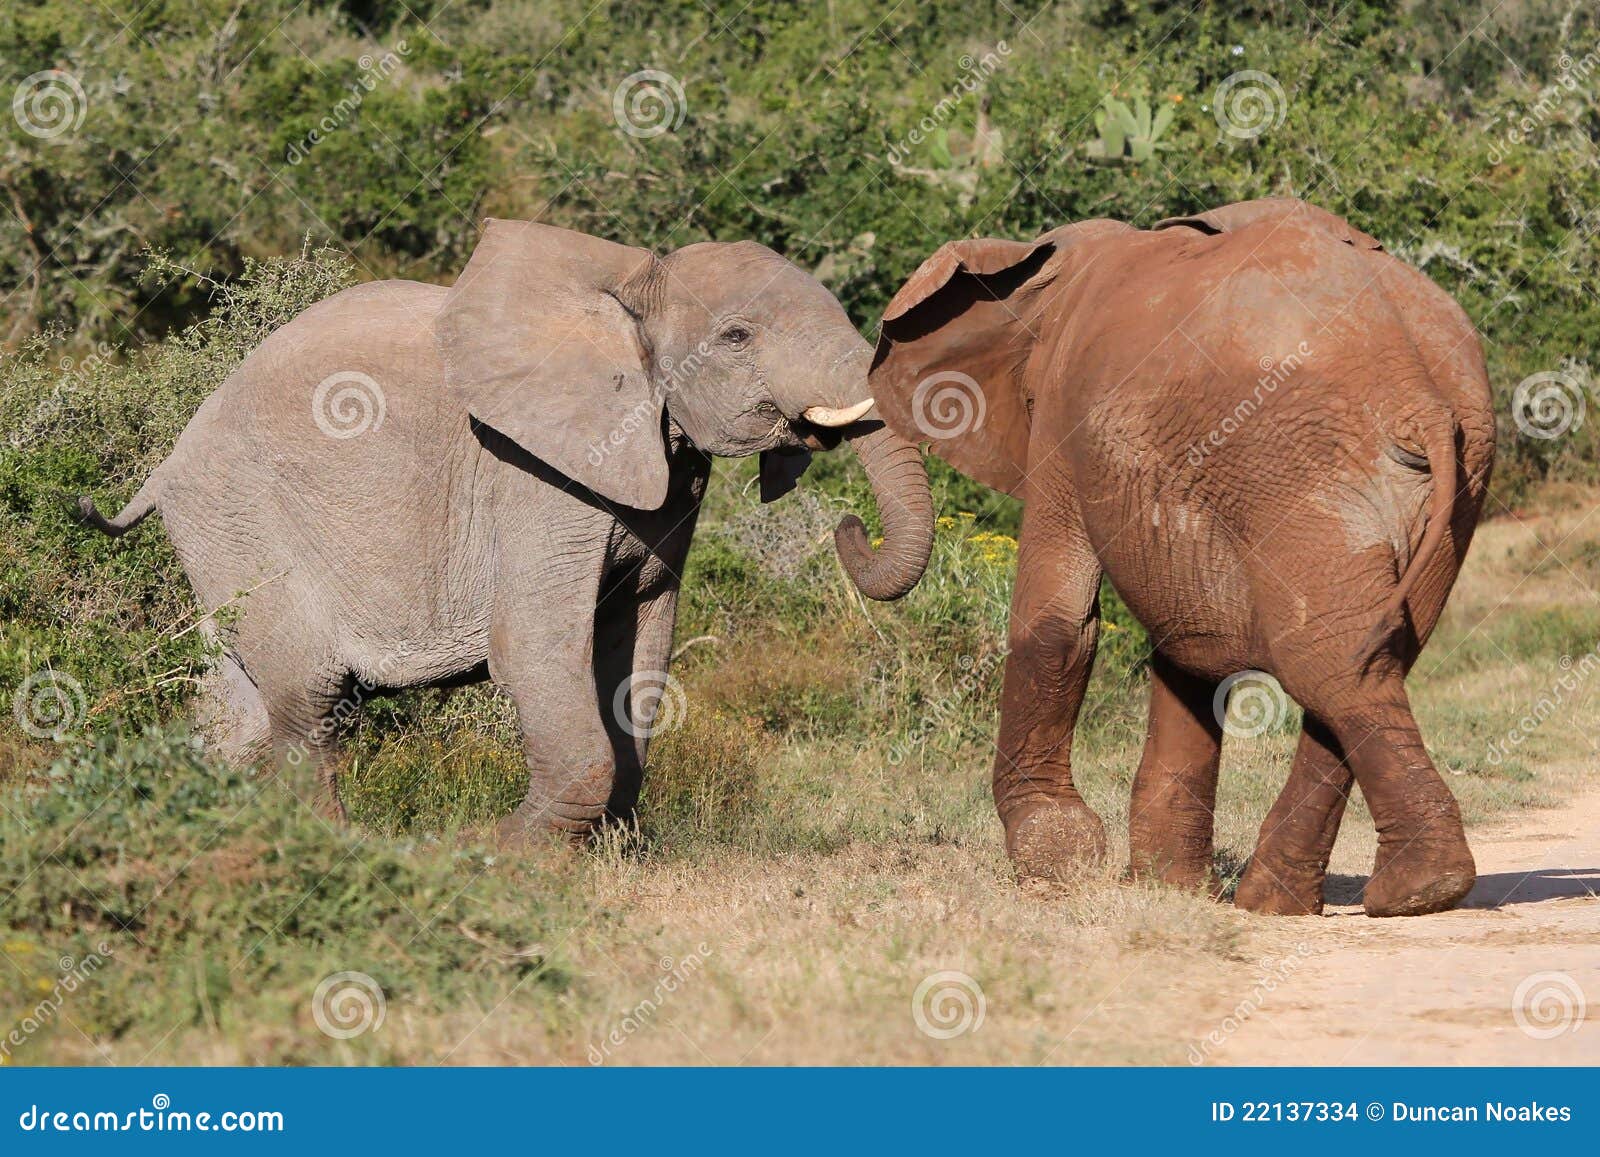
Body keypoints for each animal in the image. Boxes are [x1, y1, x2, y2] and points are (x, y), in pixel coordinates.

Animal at [78, 219, 935, 841]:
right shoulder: (532, 471)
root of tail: (163, 465)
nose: (850, 527)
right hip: (242, 515)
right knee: (309, 698)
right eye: (737, 337)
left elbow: (643, 641)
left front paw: (612, 850)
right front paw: (505, 851)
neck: (628, 286)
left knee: (237, 705)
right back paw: (334, 848)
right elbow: (532, 642)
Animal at [868, 198, 1494, 917]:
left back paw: (1412, 890)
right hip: (1453, 478)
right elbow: (1186, 646)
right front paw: (1169, 887)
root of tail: (1417, 390)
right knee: (1368, 657)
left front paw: (1059, 857)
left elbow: (1059, 618)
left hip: (1295, 469)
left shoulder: (1061, 413)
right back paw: (1283, 902)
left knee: (1332, 662)